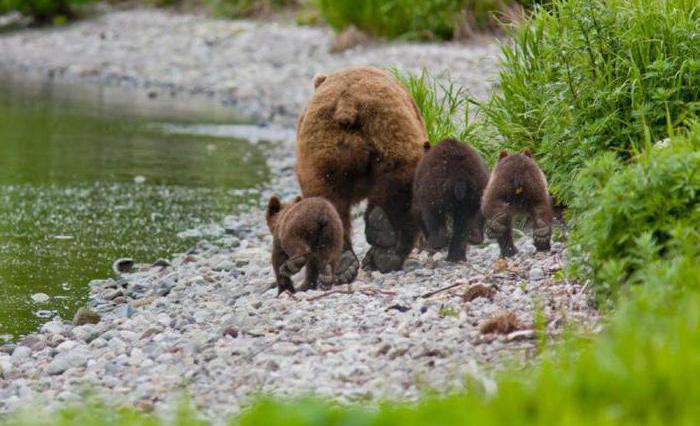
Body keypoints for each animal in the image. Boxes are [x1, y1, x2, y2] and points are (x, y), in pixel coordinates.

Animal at [296, 66, 426, 282]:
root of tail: (347, 104)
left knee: (326, 196)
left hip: (322, 151)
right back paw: (386, 248)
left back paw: (343, 263)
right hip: (389, 129)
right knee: (401, 180)